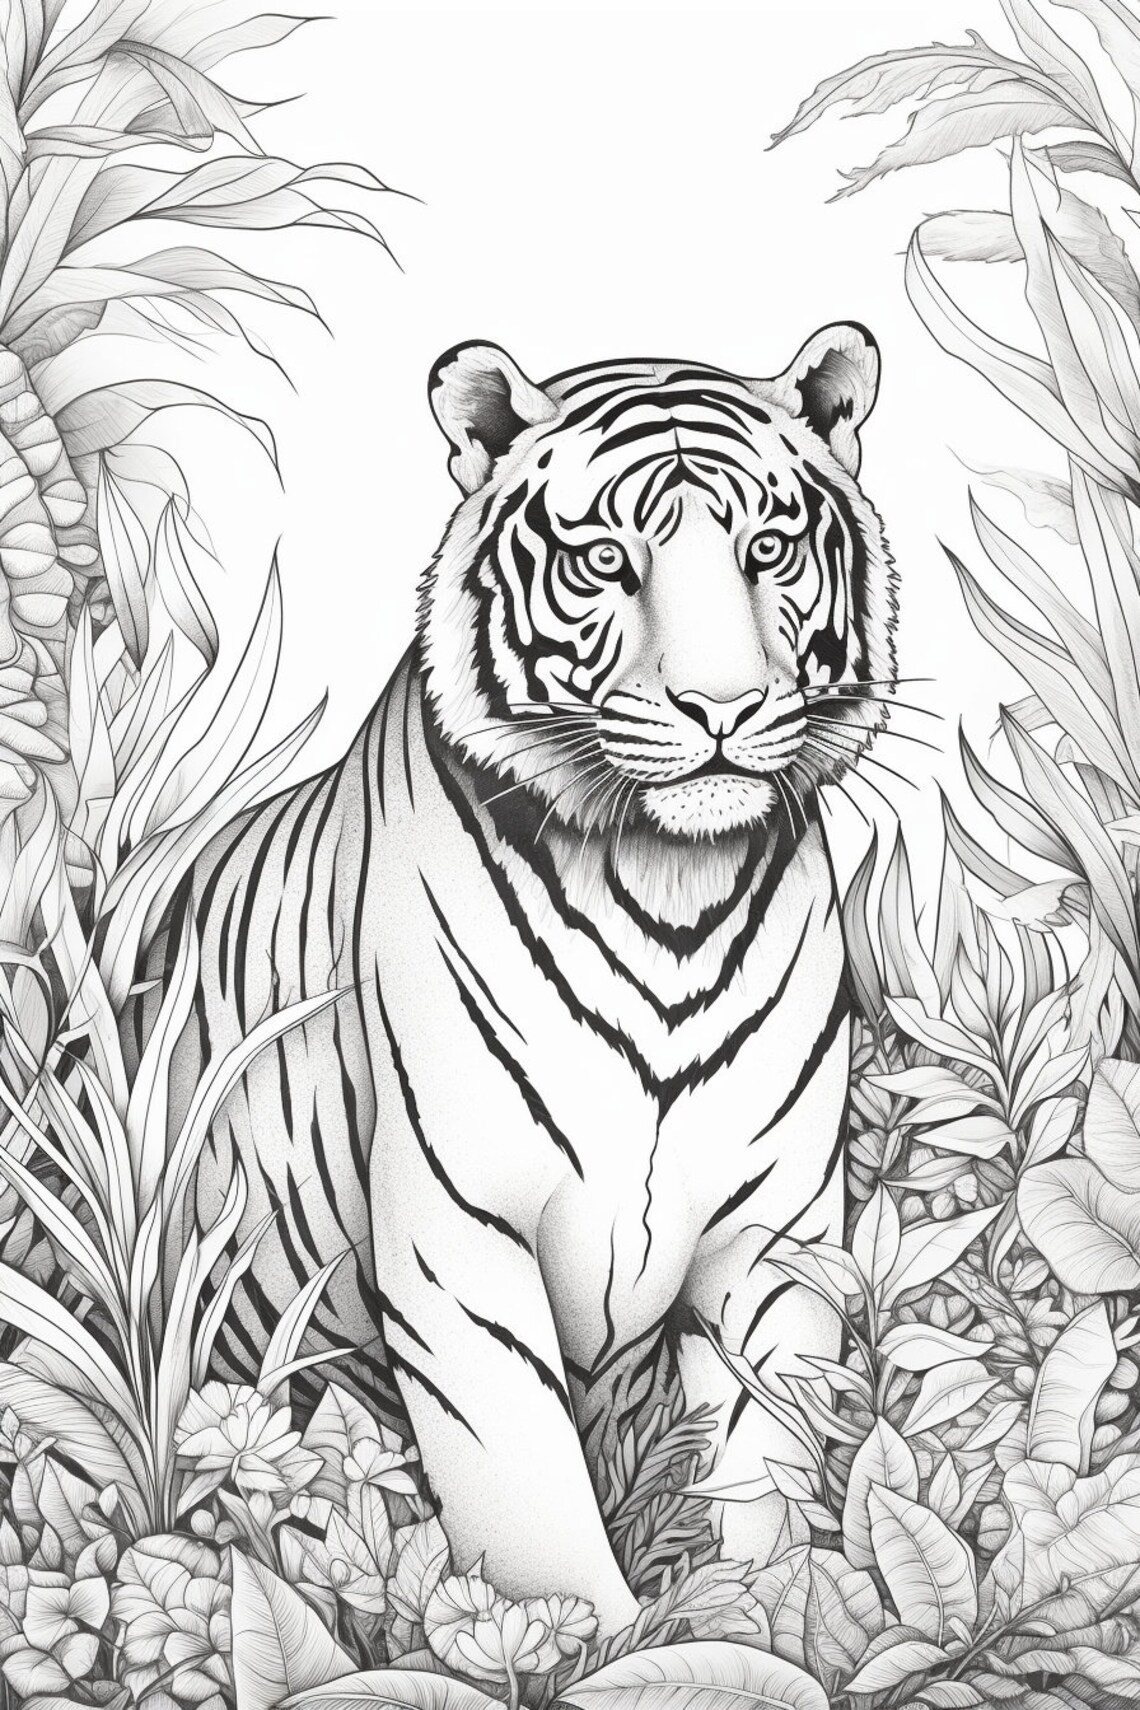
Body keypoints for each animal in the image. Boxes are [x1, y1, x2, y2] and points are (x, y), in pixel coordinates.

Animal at [146, 323, 895, 1633]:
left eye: (767, 549)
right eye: (605, 561)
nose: (722, 706)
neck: (670, 888)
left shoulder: (774, 1230)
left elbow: (766, 1439)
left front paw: (760, 1608)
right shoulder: (461, 1219)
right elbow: (517, 1461)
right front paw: (569, 1634)